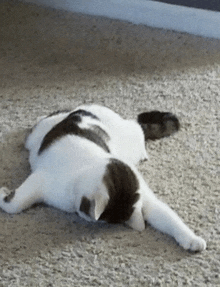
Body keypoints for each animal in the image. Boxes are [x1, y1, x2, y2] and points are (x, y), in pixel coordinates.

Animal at [0, 104, 206, 251]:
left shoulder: (144, 197)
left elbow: (168, 217)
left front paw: (190, 238)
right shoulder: (41, 179)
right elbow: (14, 205)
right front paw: (4, 193)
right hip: (39, 134)